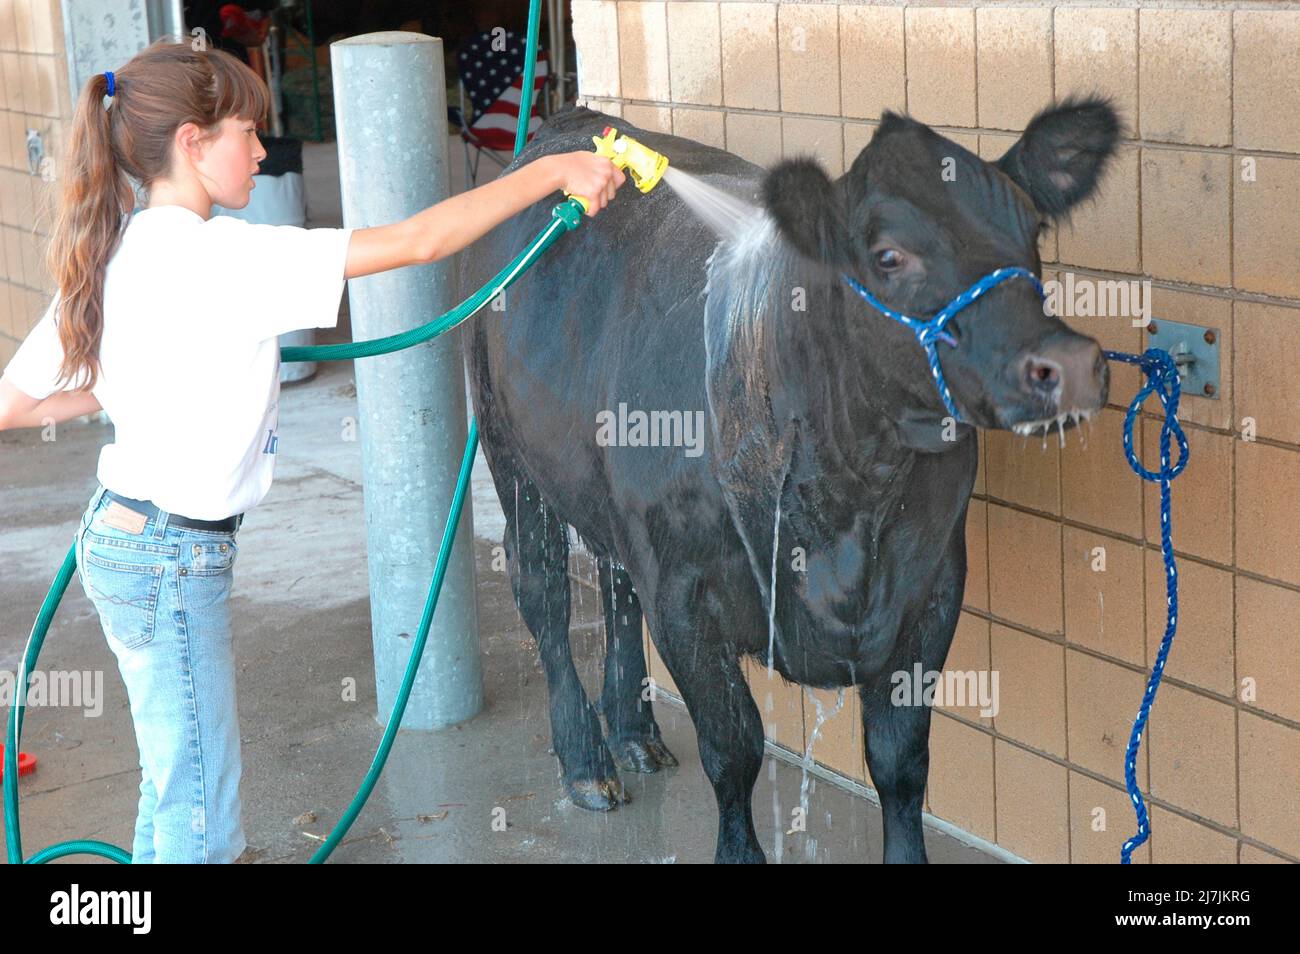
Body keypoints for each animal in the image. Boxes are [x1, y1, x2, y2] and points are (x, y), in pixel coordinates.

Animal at [460, 97, 1120, 862]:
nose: (1067, 364)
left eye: (1031, 229)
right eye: (888, 255)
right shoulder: (683, 590)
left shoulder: (933, 584)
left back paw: (634, 735)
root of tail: (568, 118)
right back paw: (587, 761)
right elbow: (734, 749)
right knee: (544, 593)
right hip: (507, 450)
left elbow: (901, 759)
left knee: (617, 588)